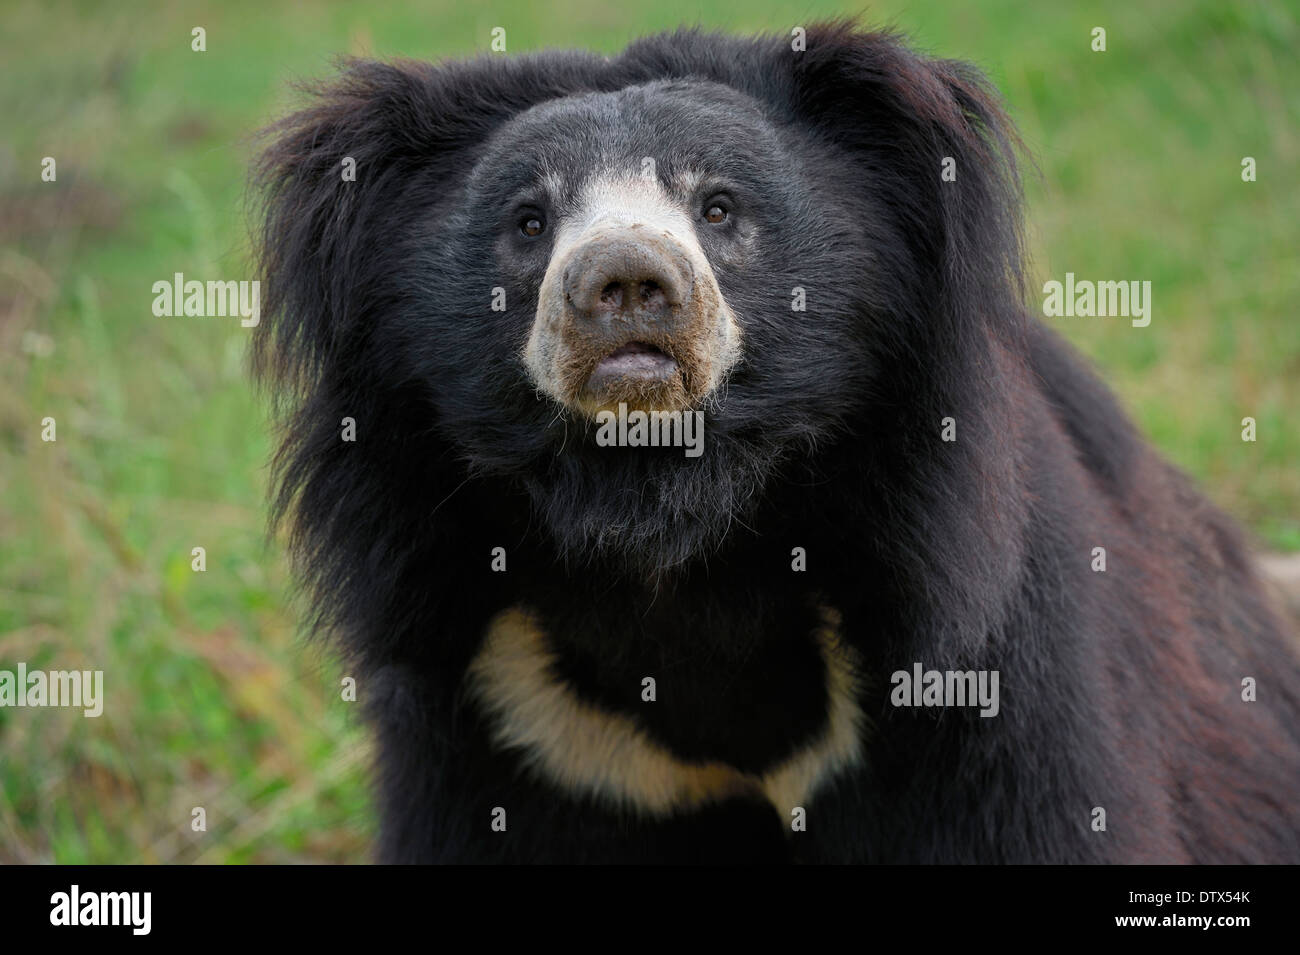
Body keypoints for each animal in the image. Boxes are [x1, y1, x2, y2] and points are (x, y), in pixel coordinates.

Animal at [251, 22, 1300, 863]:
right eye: (529, 220)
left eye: (719, 207)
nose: (624, 282)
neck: (676, 537)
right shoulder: (505, 709)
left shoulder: (977, 652)